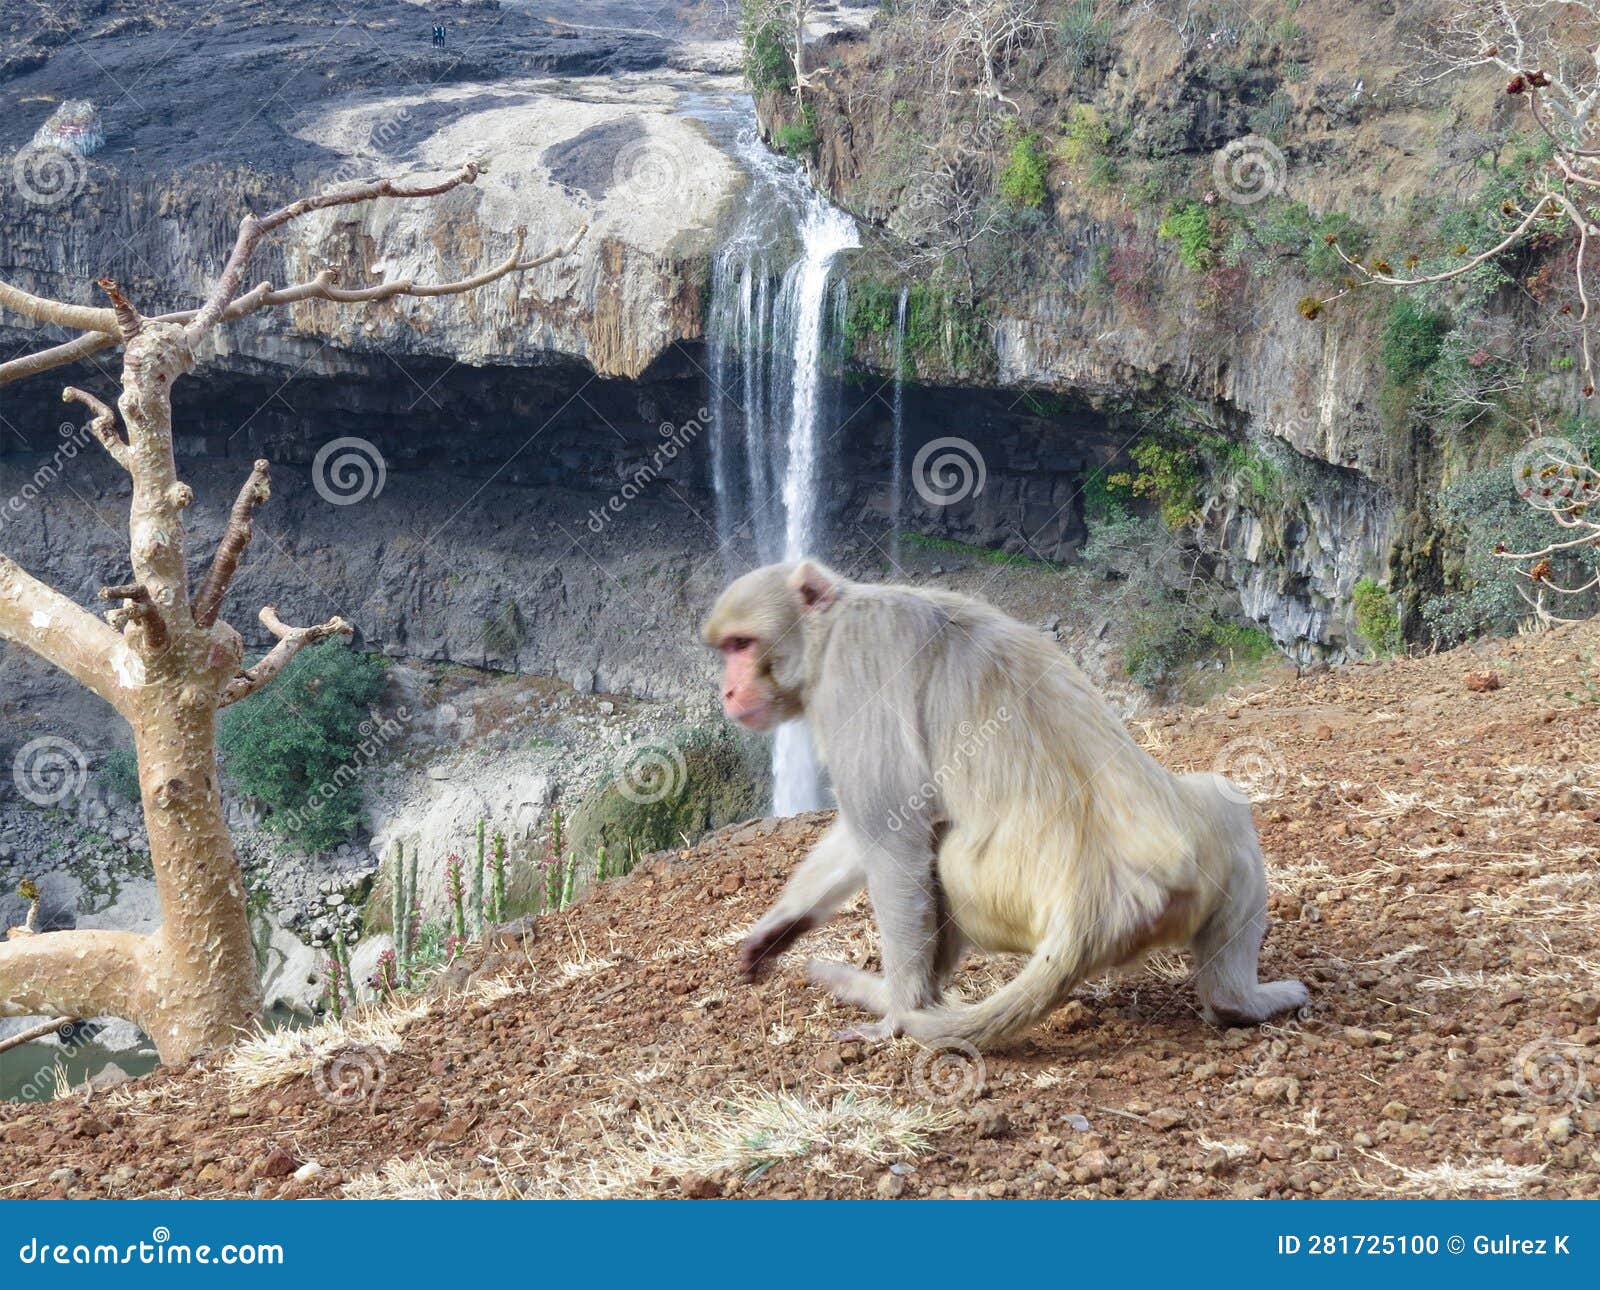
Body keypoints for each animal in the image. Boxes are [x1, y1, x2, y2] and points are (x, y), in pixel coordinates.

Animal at [701, 559, 1308, 1050]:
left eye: (742, 645)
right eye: (727, 648)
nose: (727, 691)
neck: (829, 627)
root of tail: (1099, 903)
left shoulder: (852, 672)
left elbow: (893, 831)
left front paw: (897, 1013)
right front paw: (779, 925)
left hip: (993, 893)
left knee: (937, 852)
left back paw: (908, 1003)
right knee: (1225, 802)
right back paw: (1238, 1003)